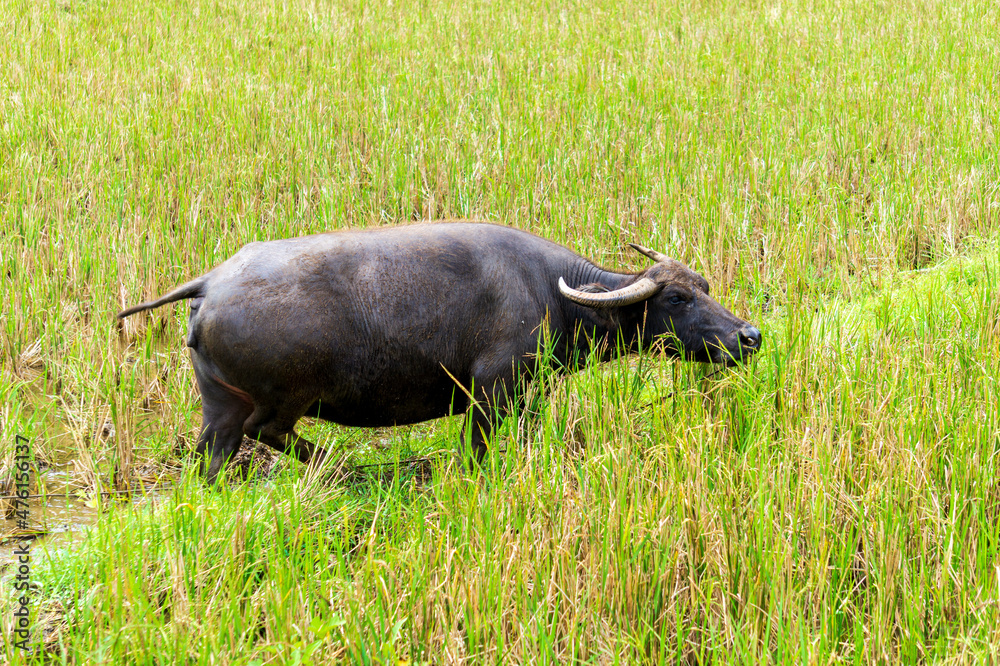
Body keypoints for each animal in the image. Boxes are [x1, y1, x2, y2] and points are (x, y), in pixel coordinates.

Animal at [118, 222, 761, 480]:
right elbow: (478, 450)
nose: (749, 337)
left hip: (219, 406)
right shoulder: (491, 391)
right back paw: (345, 468)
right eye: (676, 297)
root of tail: (209, 284)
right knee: (269, 432)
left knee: (217, 454)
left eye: (705, 285)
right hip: (281, 398)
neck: (552, 293)